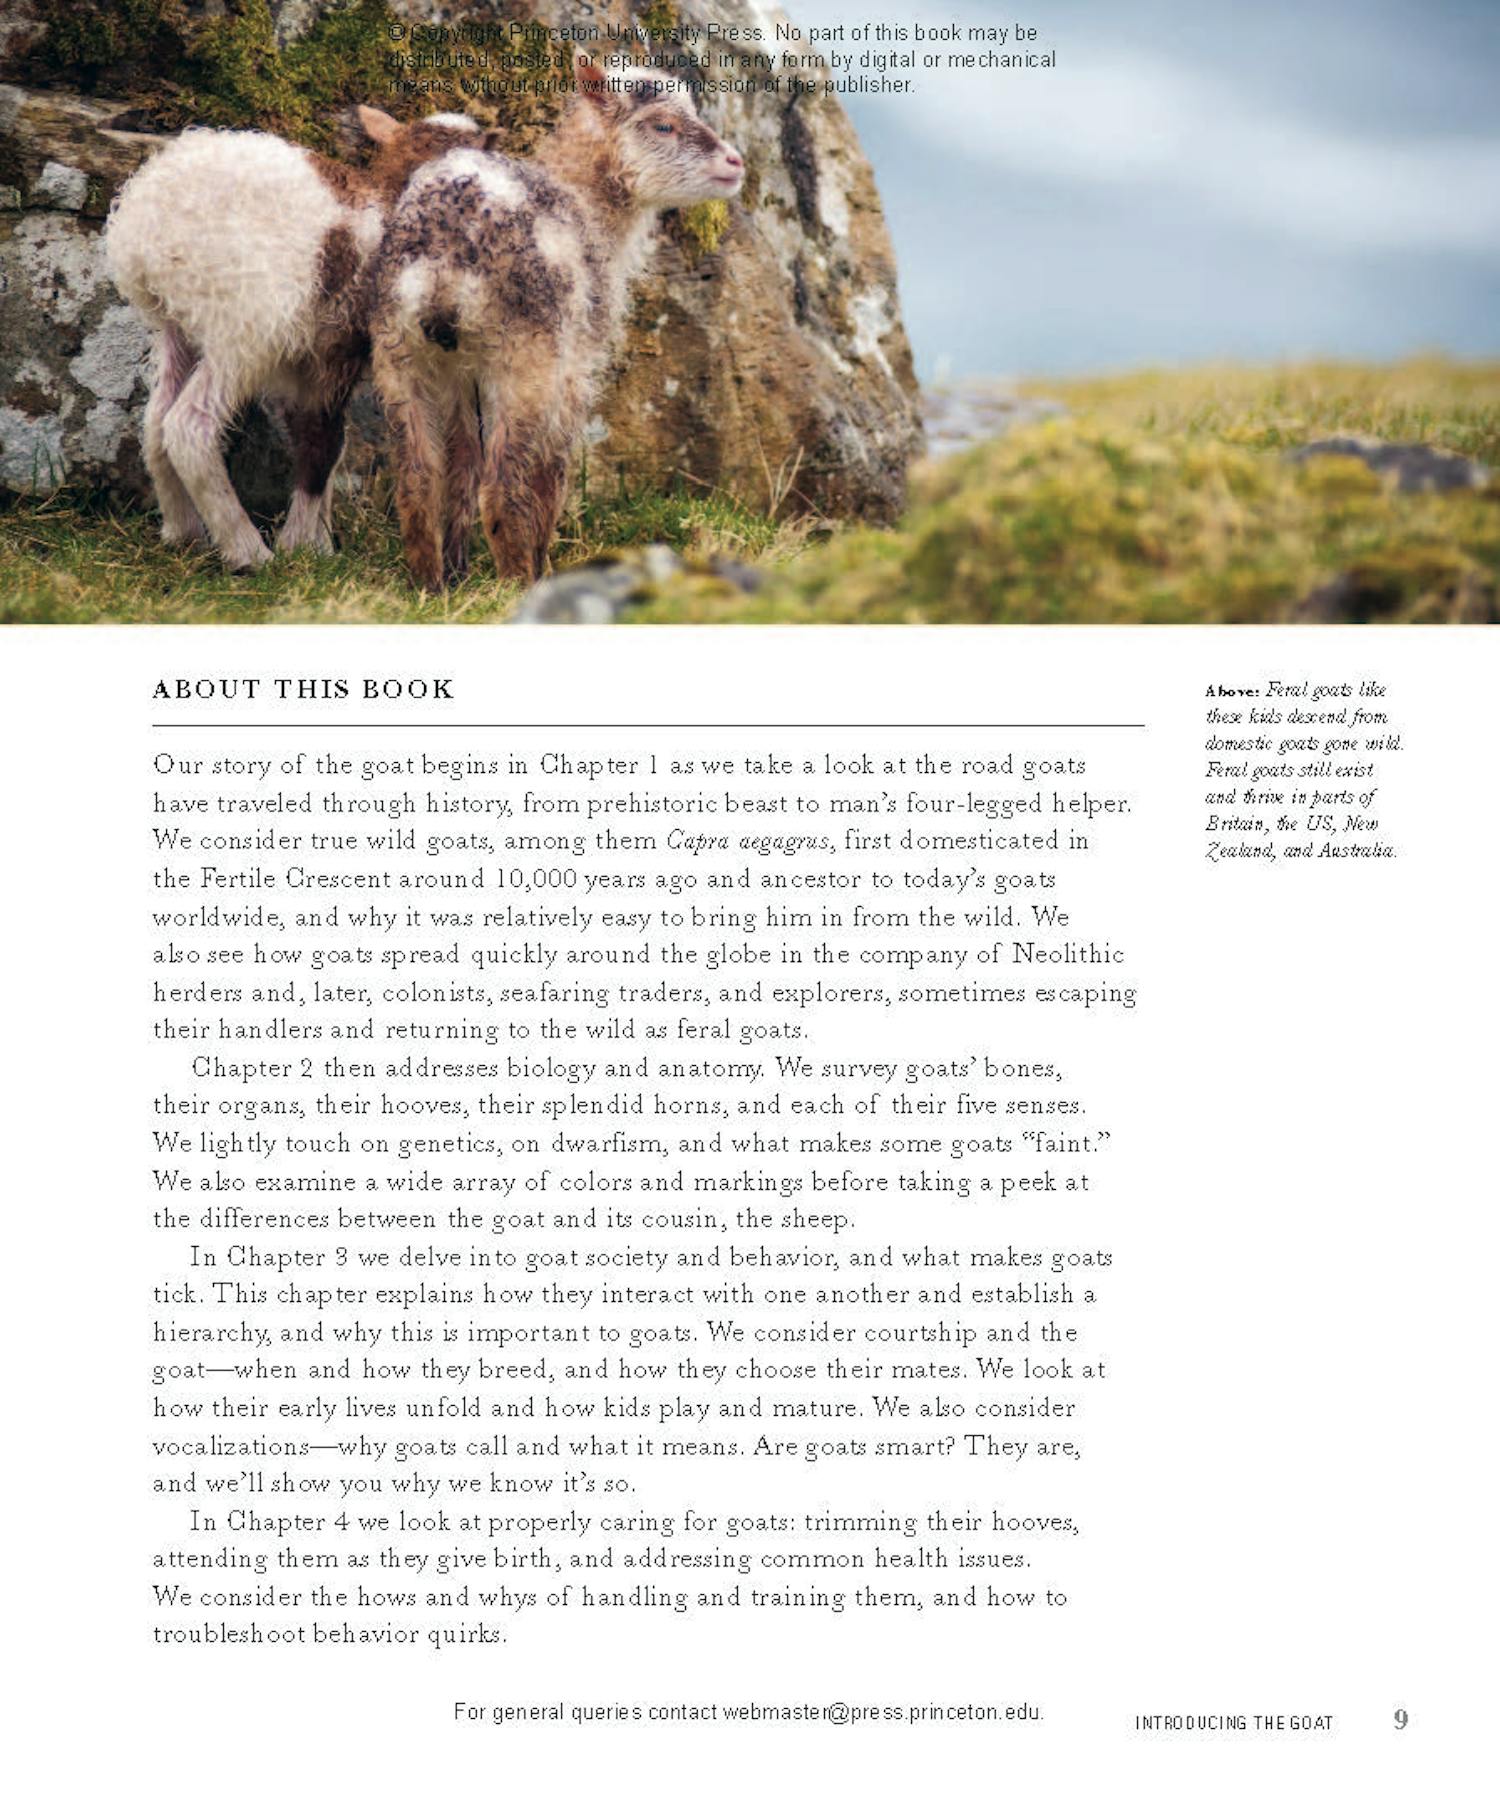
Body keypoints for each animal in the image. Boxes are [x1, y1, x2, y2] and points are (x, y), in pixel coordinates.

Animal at [105, 109, 482, 569]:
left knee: (156, 422)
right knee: (189, 427)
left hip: (175, 326)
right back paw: (248, 552)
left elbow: (324, 441)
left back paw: (184, 532)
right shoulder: (337, 345)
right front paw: (303, 545)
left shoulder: (314, 354)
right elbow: (322, 440)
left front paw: (318, 539)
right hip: (242, 328)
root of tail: (146, 229)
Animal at [370, 54, 744, 591]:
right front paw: (543, 563)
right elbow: (552, 474)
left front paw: (459, 572)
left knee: (419, 480)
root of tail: (442, 259)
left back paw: (430, 585)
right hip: (528, 359)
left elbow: (461, 465)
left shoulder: (462, 377)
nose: (735, 163)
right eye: (663, 125)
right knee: (502, 487)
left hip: (400, 356)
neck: (587, 202)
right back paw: (518, 583)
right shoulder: (574, 369)